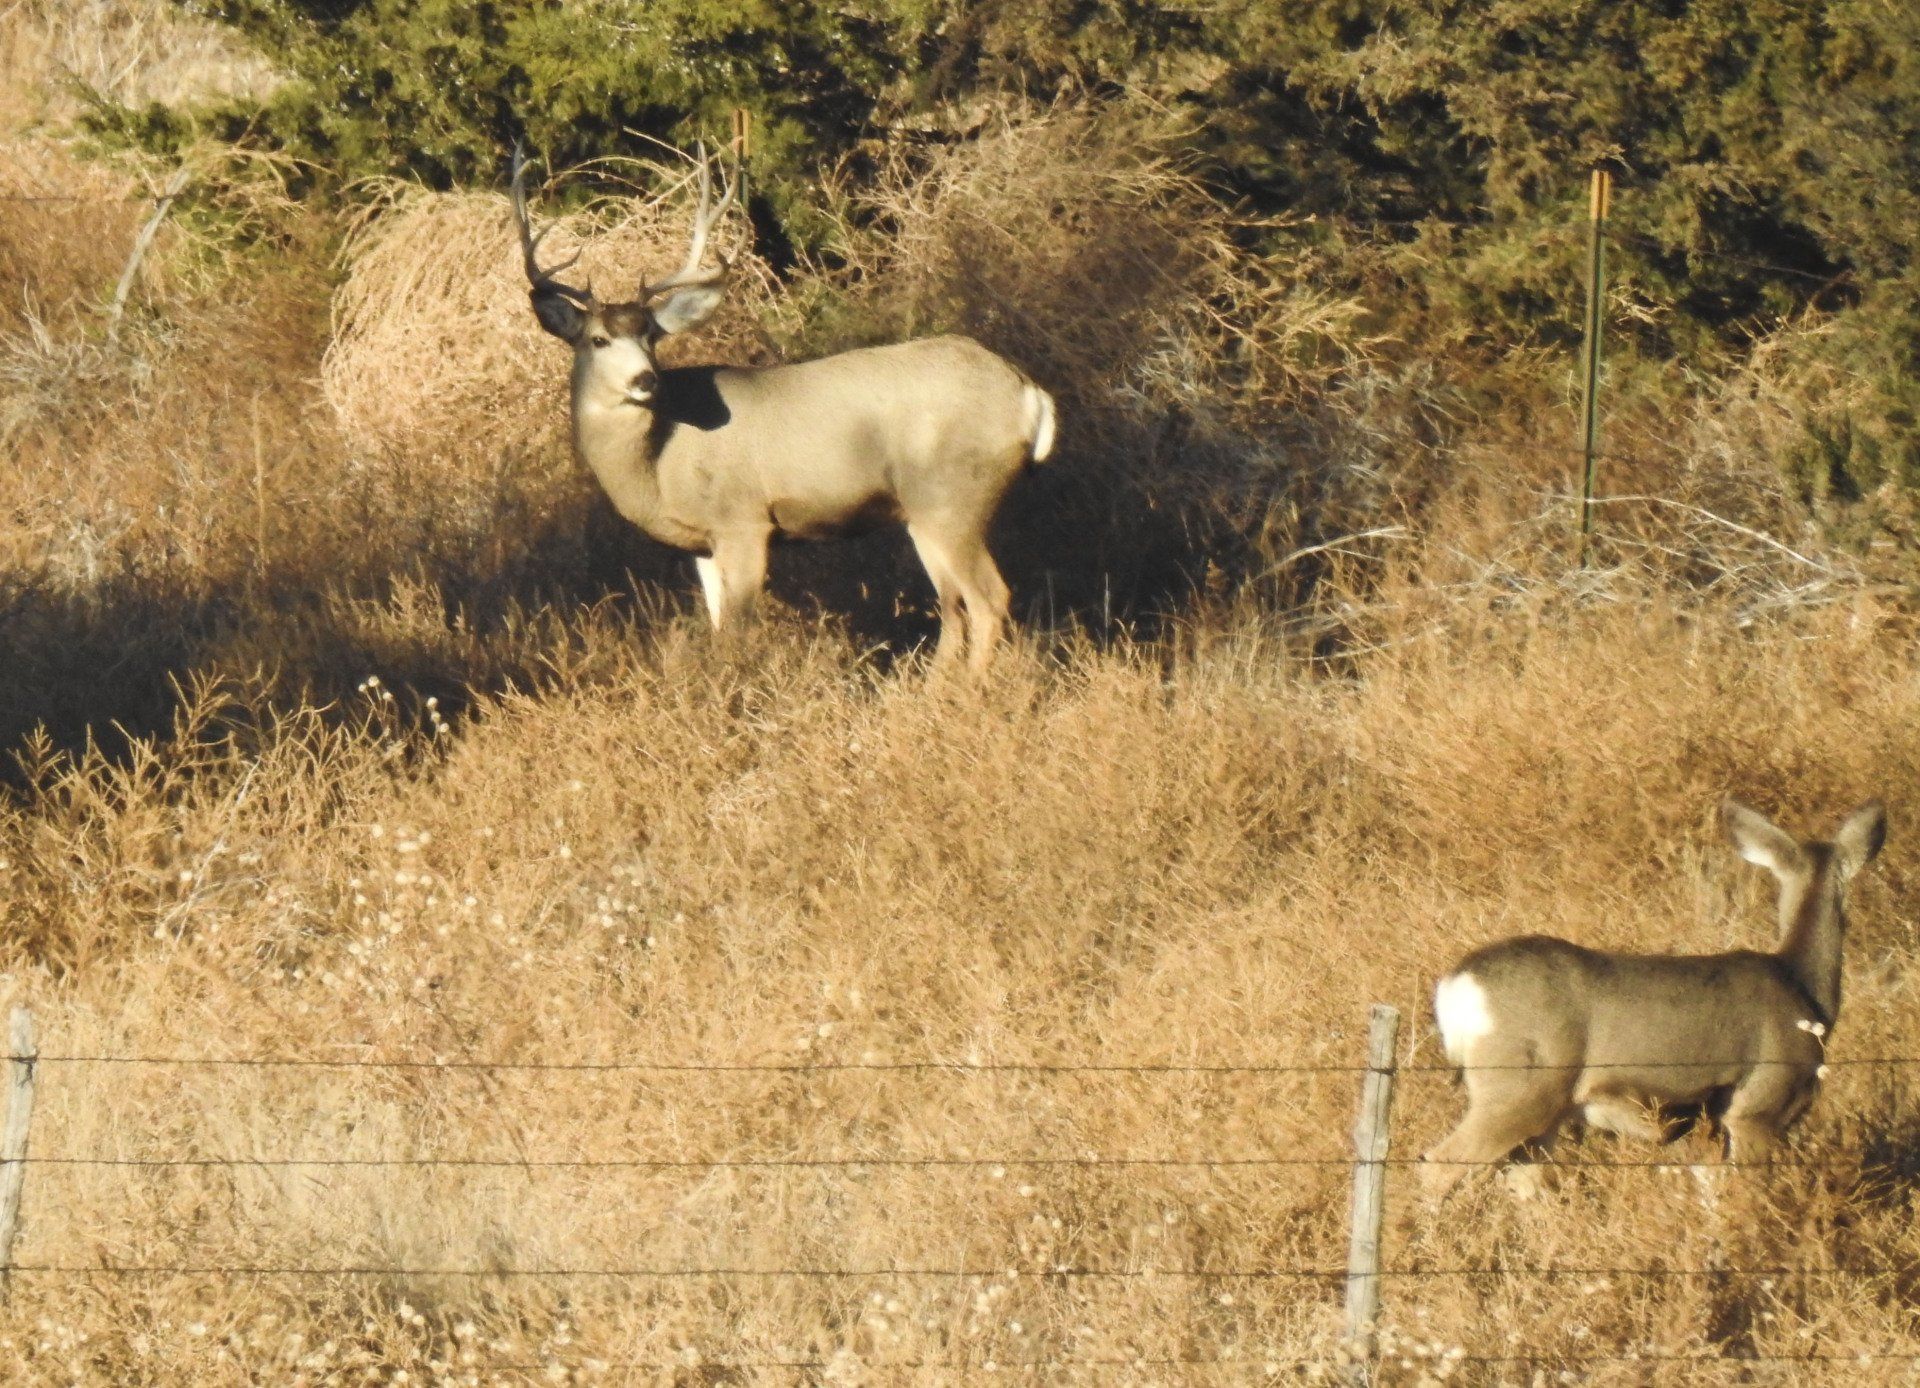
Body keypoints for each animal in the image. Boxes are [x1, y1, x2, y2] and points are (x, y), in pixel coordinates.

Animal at [509, 144, 1057, 671]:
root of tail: (1029, 393)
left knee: (988, 598)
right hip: (923, 509)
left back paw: (969, 690)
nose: (646, 380)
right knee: (953, 604)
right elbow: (716, 625)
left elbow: (737, 629)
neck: (658, 462)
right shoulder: (705, 542)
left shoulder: (744, 518)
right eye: (598, 339)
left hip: (951, 495)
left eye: (651, 336)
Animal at [1421, 797, 1887, 1197]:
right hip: (1516, 1087)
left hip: (1543, 1112)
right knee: (1436, 1167)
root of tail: (1456, 984)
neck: (1801, 985)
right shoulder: (1759, 1106)